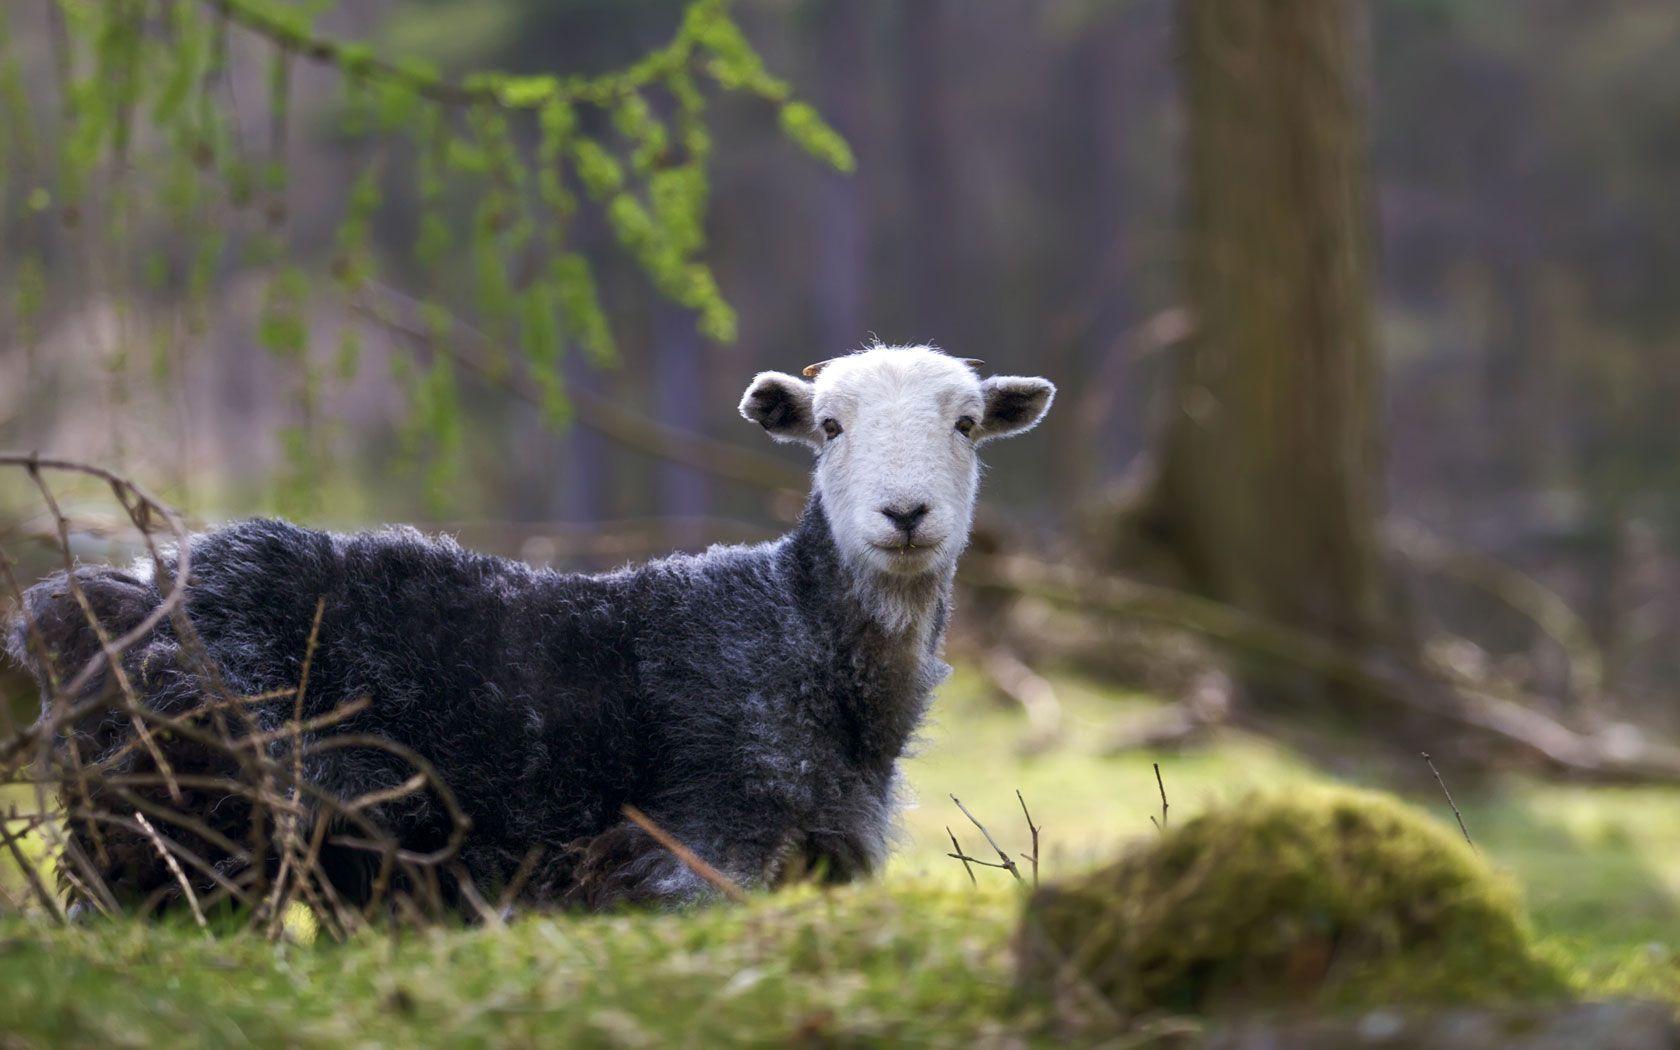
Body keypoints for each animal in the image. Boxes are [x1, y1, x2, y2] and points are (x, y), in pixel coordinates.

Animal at [4, 344, 1055, 913]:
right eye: (829, 426)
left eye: (967, 423)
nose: (906, 515)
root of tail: (112, 597)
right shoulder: (701, 846)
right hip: (196, 818)